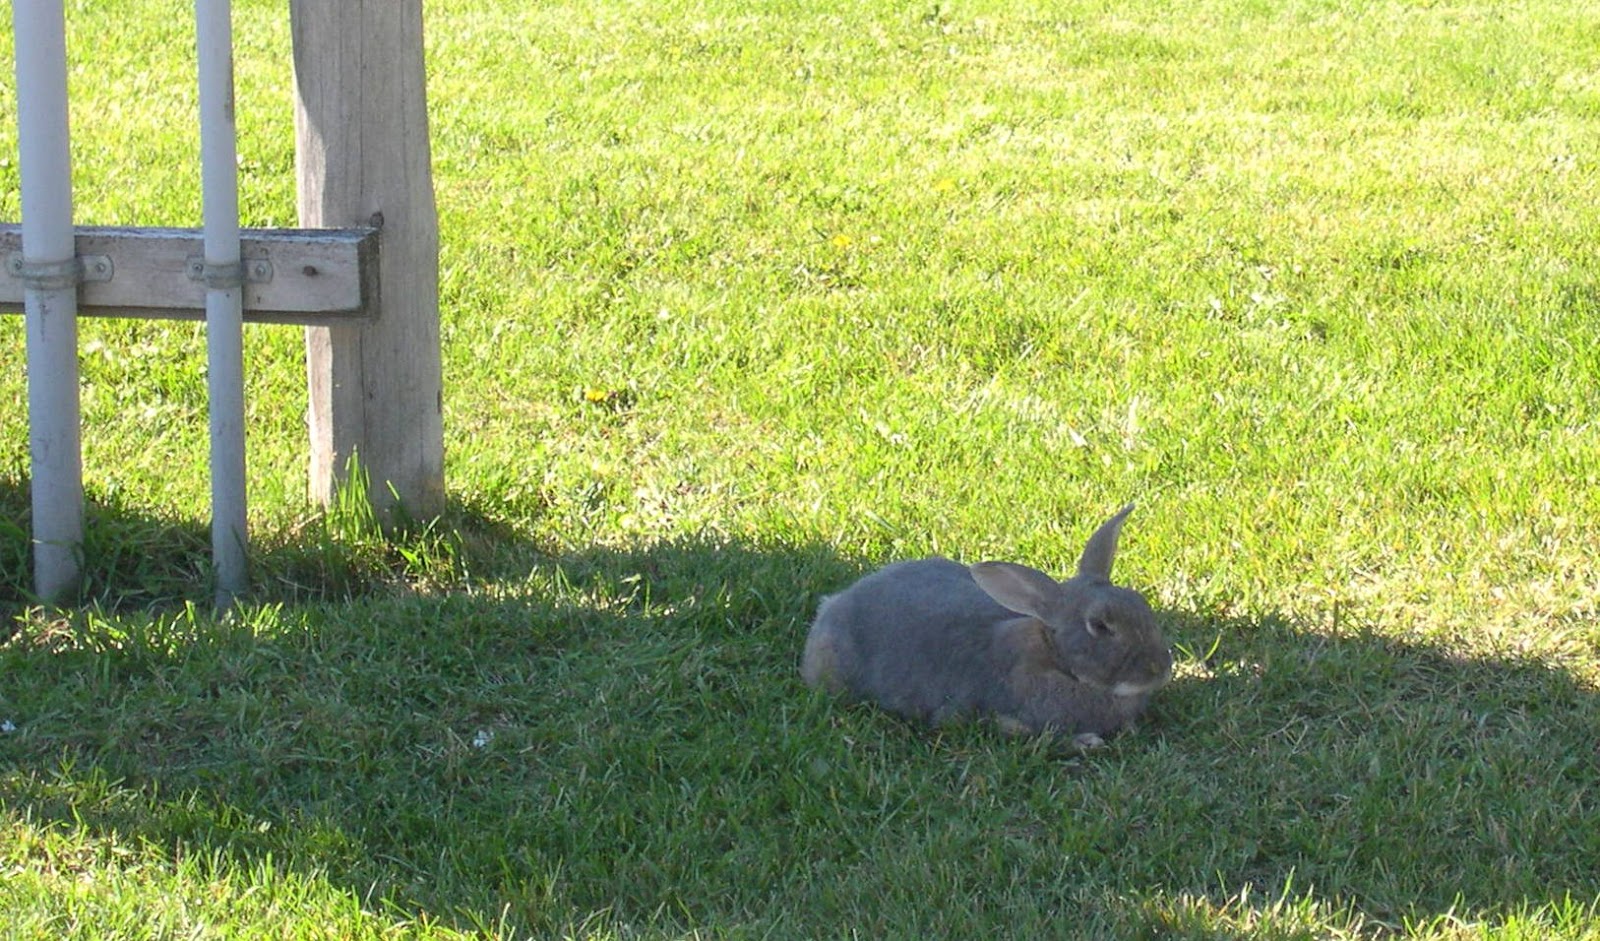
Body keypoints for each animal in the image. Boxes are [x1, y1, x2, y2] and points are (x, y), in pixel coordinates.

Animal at [801, 504, 1172, 746]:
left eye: (1139, 601)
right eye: (1099, 626)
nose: (1161, 670)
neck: (1057, 660)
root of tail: (833, 606)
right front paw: (1087, 742)